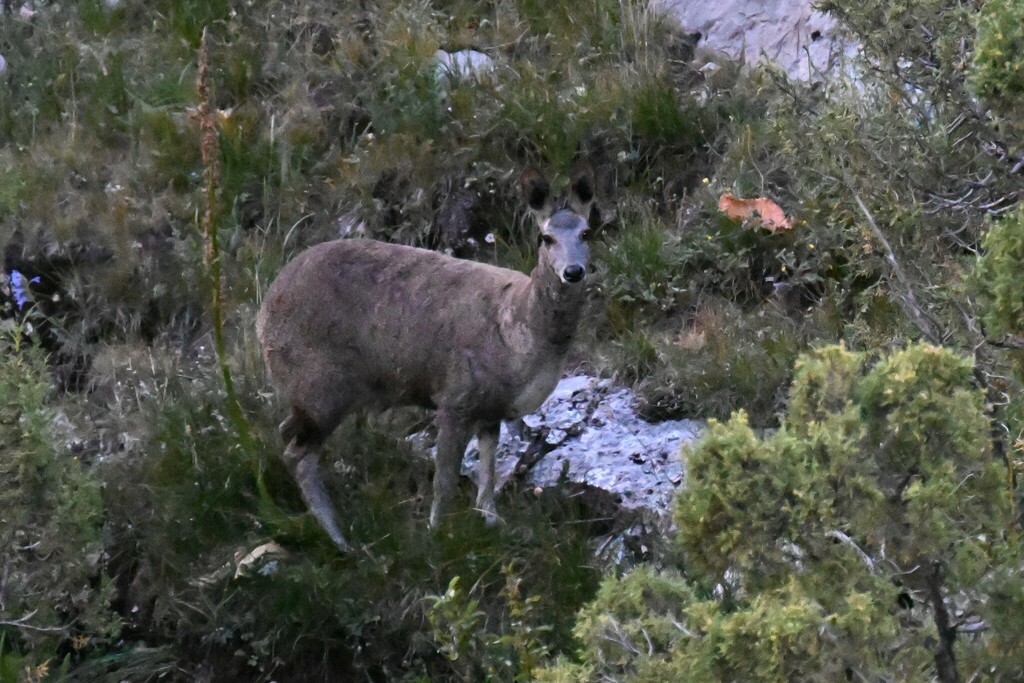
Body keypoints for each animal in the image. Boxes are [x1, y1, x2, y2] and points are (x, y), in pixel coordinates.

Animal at [256, 163, 595, 550]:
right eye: (545, 238)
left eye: (587, 232)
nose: (573, 272)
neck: (518, 331)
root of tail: (263, 314)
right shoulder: (455, 394)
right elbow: (444, 478)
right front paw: (436, 536)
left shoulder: (490, 408)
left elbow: (488, 470)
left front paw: (494, 522)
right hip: (321, 384)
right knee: (298, 454)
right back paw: (343, 541)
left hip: (312, 392)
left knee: (286, 433)